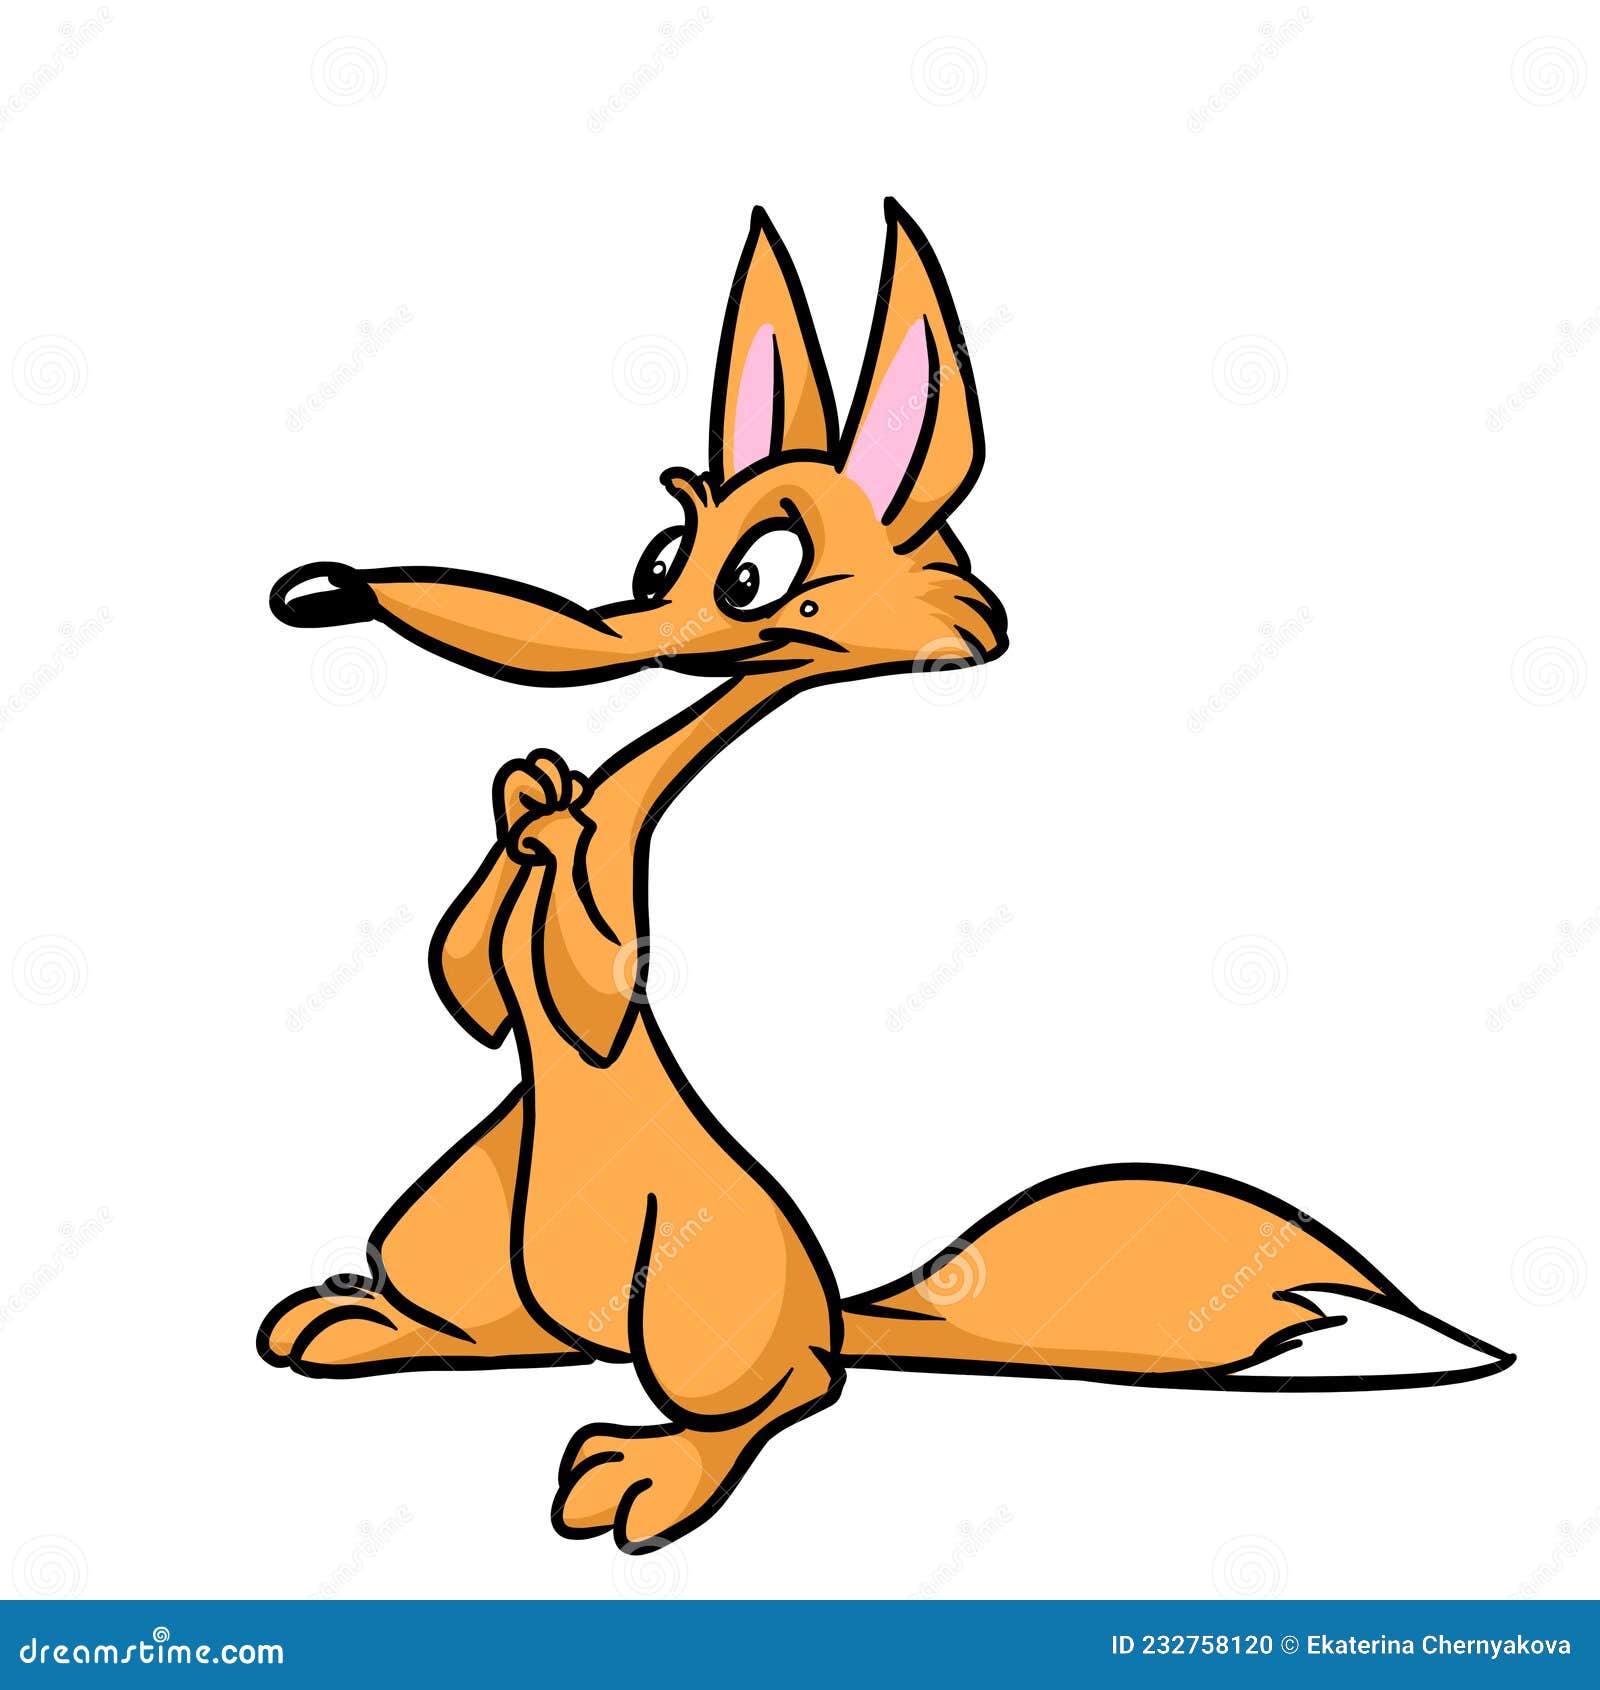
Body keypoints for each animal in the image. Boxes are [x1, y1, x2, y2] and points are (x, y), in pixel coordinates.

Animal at [260, 200, 1513, 1552]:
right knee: (496, 1331)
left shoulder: (617, 904)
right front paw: (528, 793)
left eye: (750, 578)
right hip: (455, 1223)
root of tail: (828, 1303)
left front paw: (546, 822)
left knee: (788, 1391)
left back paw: (654, 1468)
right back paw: (360, 1320)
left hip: (696, 1292)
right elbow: (472, 990)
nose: (325, 593)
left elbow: (580, 980)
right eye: (658, 560)